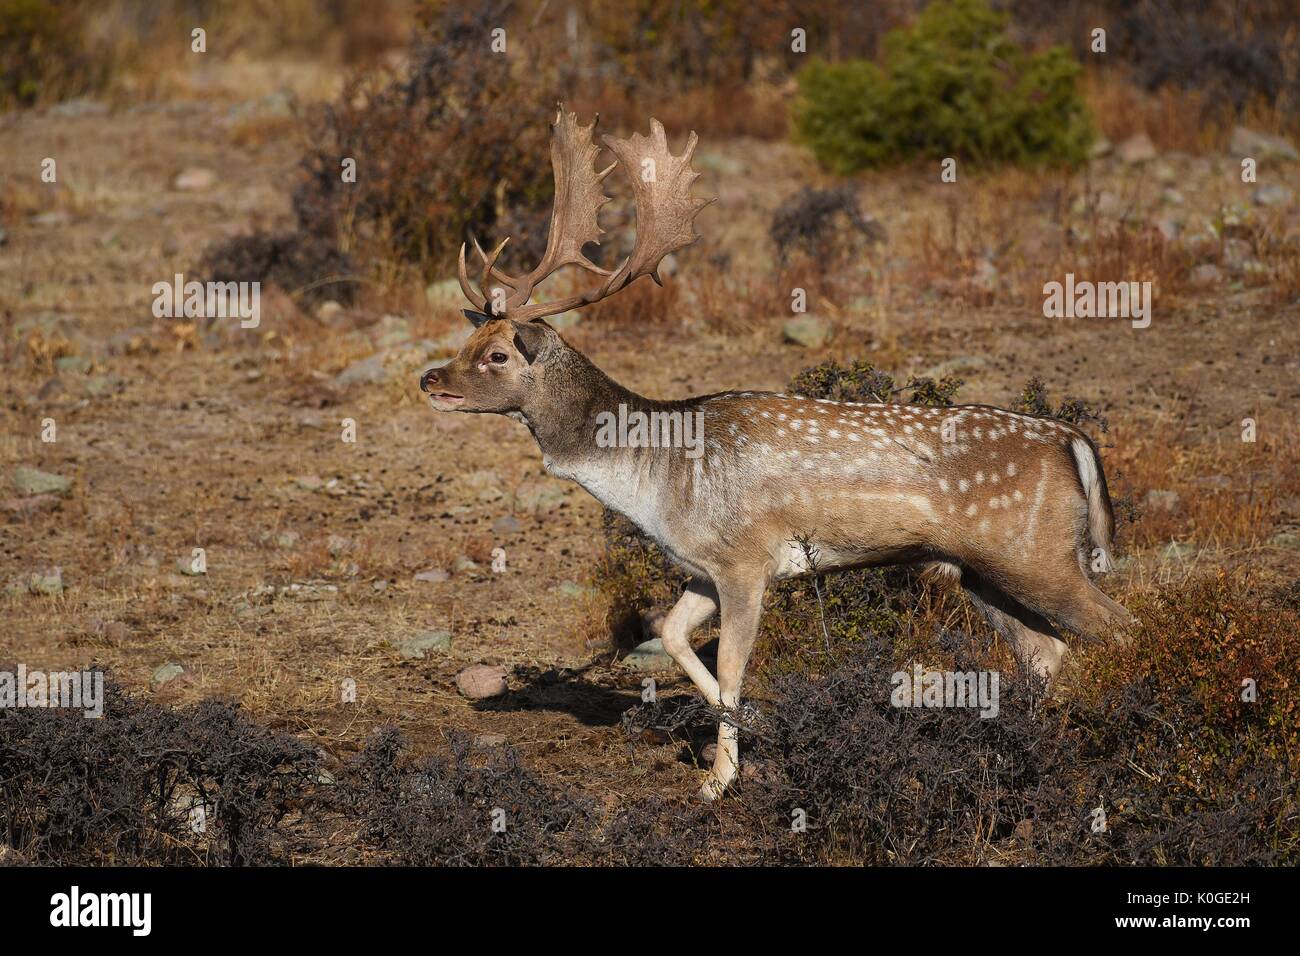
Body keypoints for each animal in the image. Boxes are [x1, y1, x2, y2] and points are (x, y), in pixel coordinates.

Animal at [419, 106, 1131, 800]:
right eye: (467, 339)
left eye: (497, 355)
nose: (429, 378)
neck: (657, 478)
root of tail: (1074, 442)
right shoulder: (700, 568)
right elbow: (672, 635)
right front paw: (748, 738)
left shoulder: (746, 560)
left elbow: (732, 663)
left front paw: (720, 780)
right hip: (981, 571)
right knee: (1045, 652)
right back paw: (1022, 752)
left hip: (1037, 556)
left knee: (1117, 627)